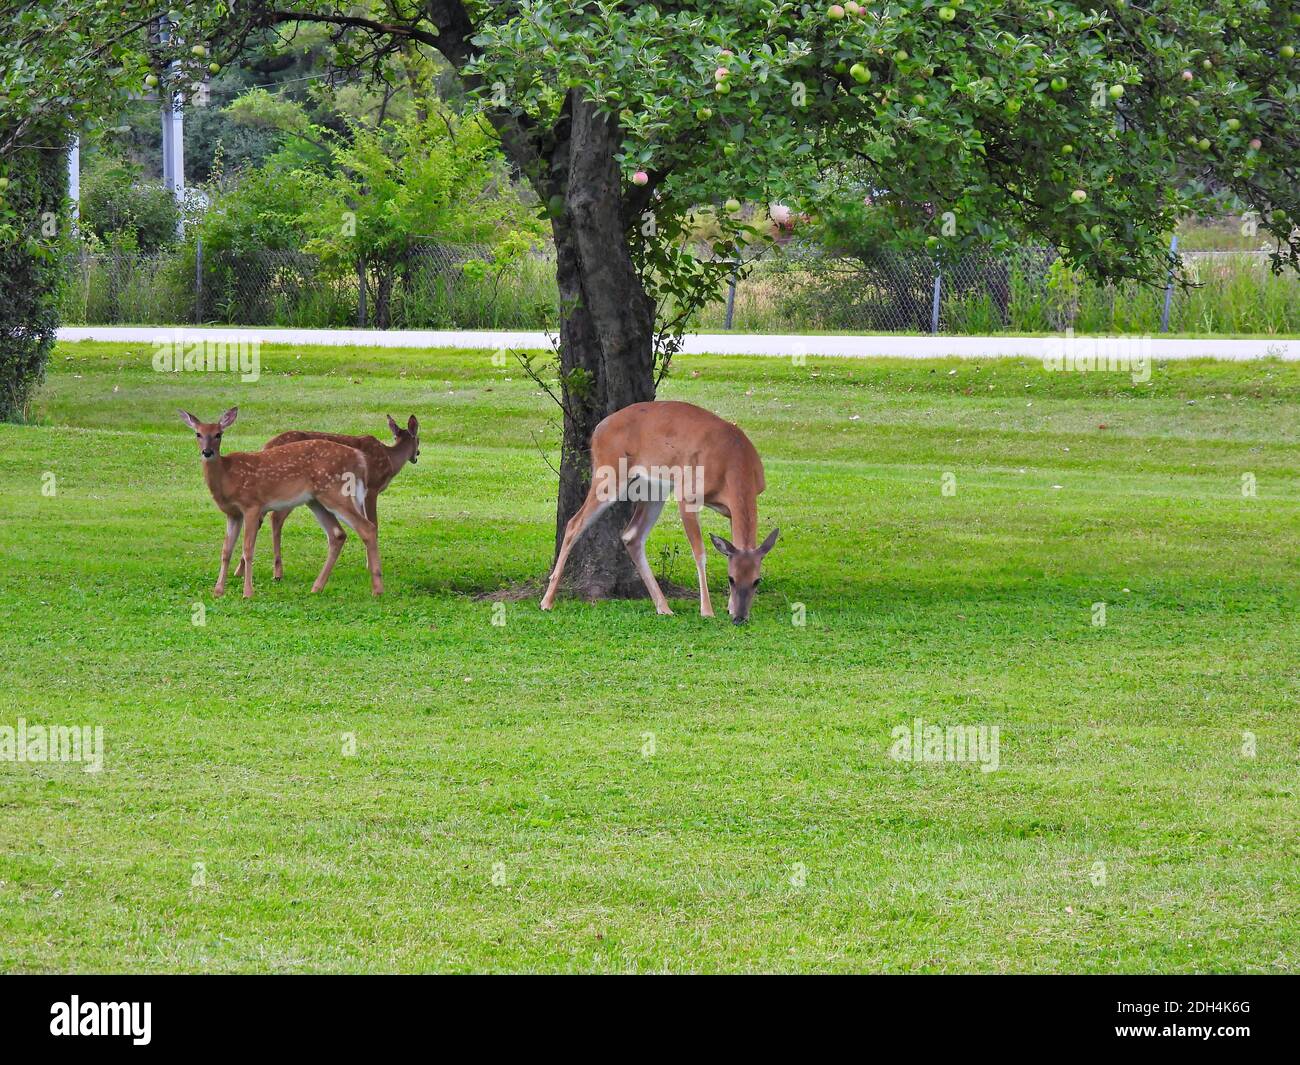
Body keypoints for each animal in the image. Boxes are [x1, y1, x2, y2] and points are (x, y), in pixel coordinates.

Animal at [179, 407, 383, 599]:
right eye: (198, 434)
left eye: (218, 434)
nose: (207, 452)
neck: (228, 477)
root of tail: (359, 458)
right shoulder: (233, 513)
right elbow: (226, 551)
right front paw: (218, 591)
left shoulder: (252, 505)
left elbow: (248, 549)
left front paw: (248, 593)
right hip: (316, 500)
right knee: (337, 534)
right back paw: (317, 587)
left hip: (335, 492)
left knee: (367, 527)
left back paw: (377, 589)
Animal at [232, 415, 419, 583]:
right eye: (419, 438)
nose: (417, 454)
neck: (390, 459)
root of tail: (265, 447)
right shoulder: (371, 489)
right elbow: (374, 524)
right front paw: (370, 565)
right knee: (276, 519)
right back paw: (277, 572)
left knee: (260, 519)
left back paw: (240, 570)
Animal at [540, 400, 779, 624]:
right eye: (731, 579)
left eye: (757, 580)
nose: (740, 618)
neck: (734, 463)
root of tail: (598, 429)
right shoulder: (687, 494)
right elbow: (700, 553)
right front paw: (707, 610)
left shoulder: (732, 509)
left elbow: (733, 545)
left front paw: (728, 607)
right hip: (609, 474)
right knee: (574, 523)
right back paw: (546, 601)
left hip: (654, 488)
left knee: (632, 535)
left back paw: (663, 607)